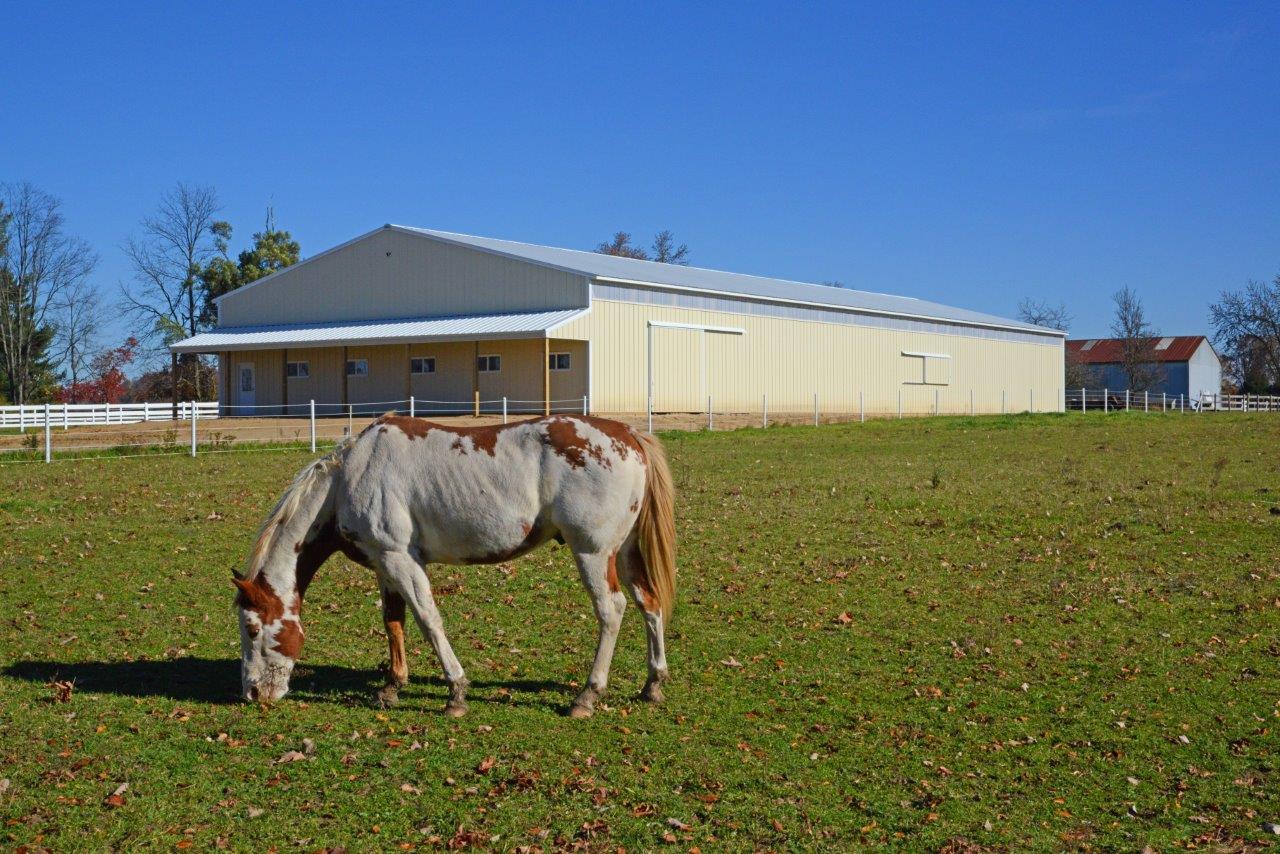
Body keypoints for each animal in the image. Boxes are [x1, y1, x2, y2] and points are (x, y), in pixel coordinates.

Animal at [231, 413, 676, 718]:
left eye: (252, 629)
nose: (251, 694)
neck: (348, 479)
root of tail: (628, 435)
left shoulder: (401, 559)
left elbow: (429, 620)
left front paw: (456, 692)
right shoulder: (384, 563)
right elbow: (394, 622)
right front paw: (393, 687)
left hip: (593, 553)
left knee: (611, 611)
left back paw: (587, 695)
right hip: (625, 552)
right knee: (649, 604)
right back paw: (653, 684)